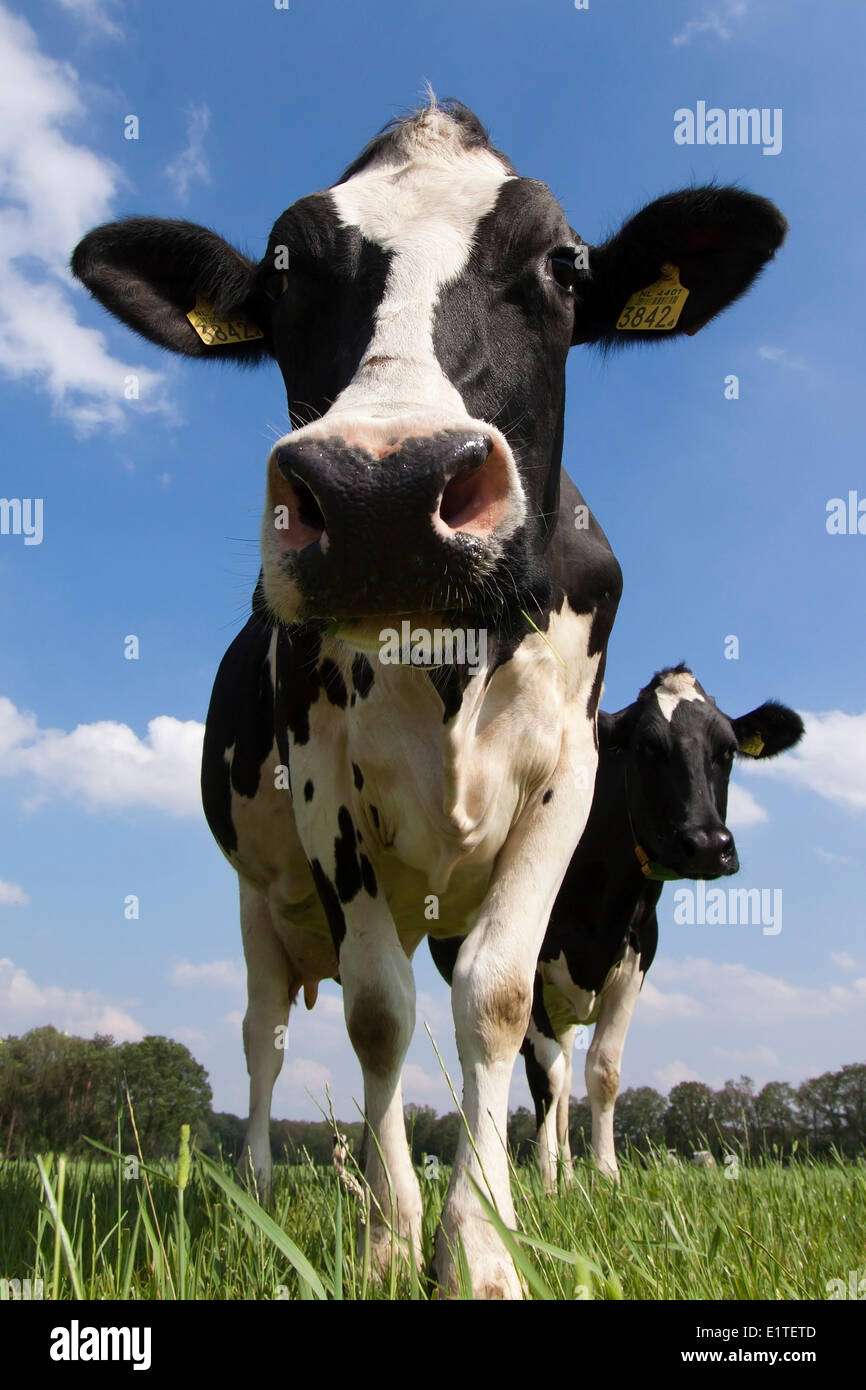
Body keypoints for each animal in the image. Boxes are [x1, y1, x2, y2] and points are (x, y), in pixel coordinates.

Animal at [431, 667, 803, 1189]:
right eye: (646, 746)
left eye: (728, 750)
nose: (708, 844)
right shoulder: (532, 967)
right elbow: (545, 1075)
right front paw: (547, 1180)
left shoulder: (635, 964)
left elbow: (603, 1071)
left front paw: (605, 1174)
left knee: (567, 1076)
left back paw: (570, 1172)